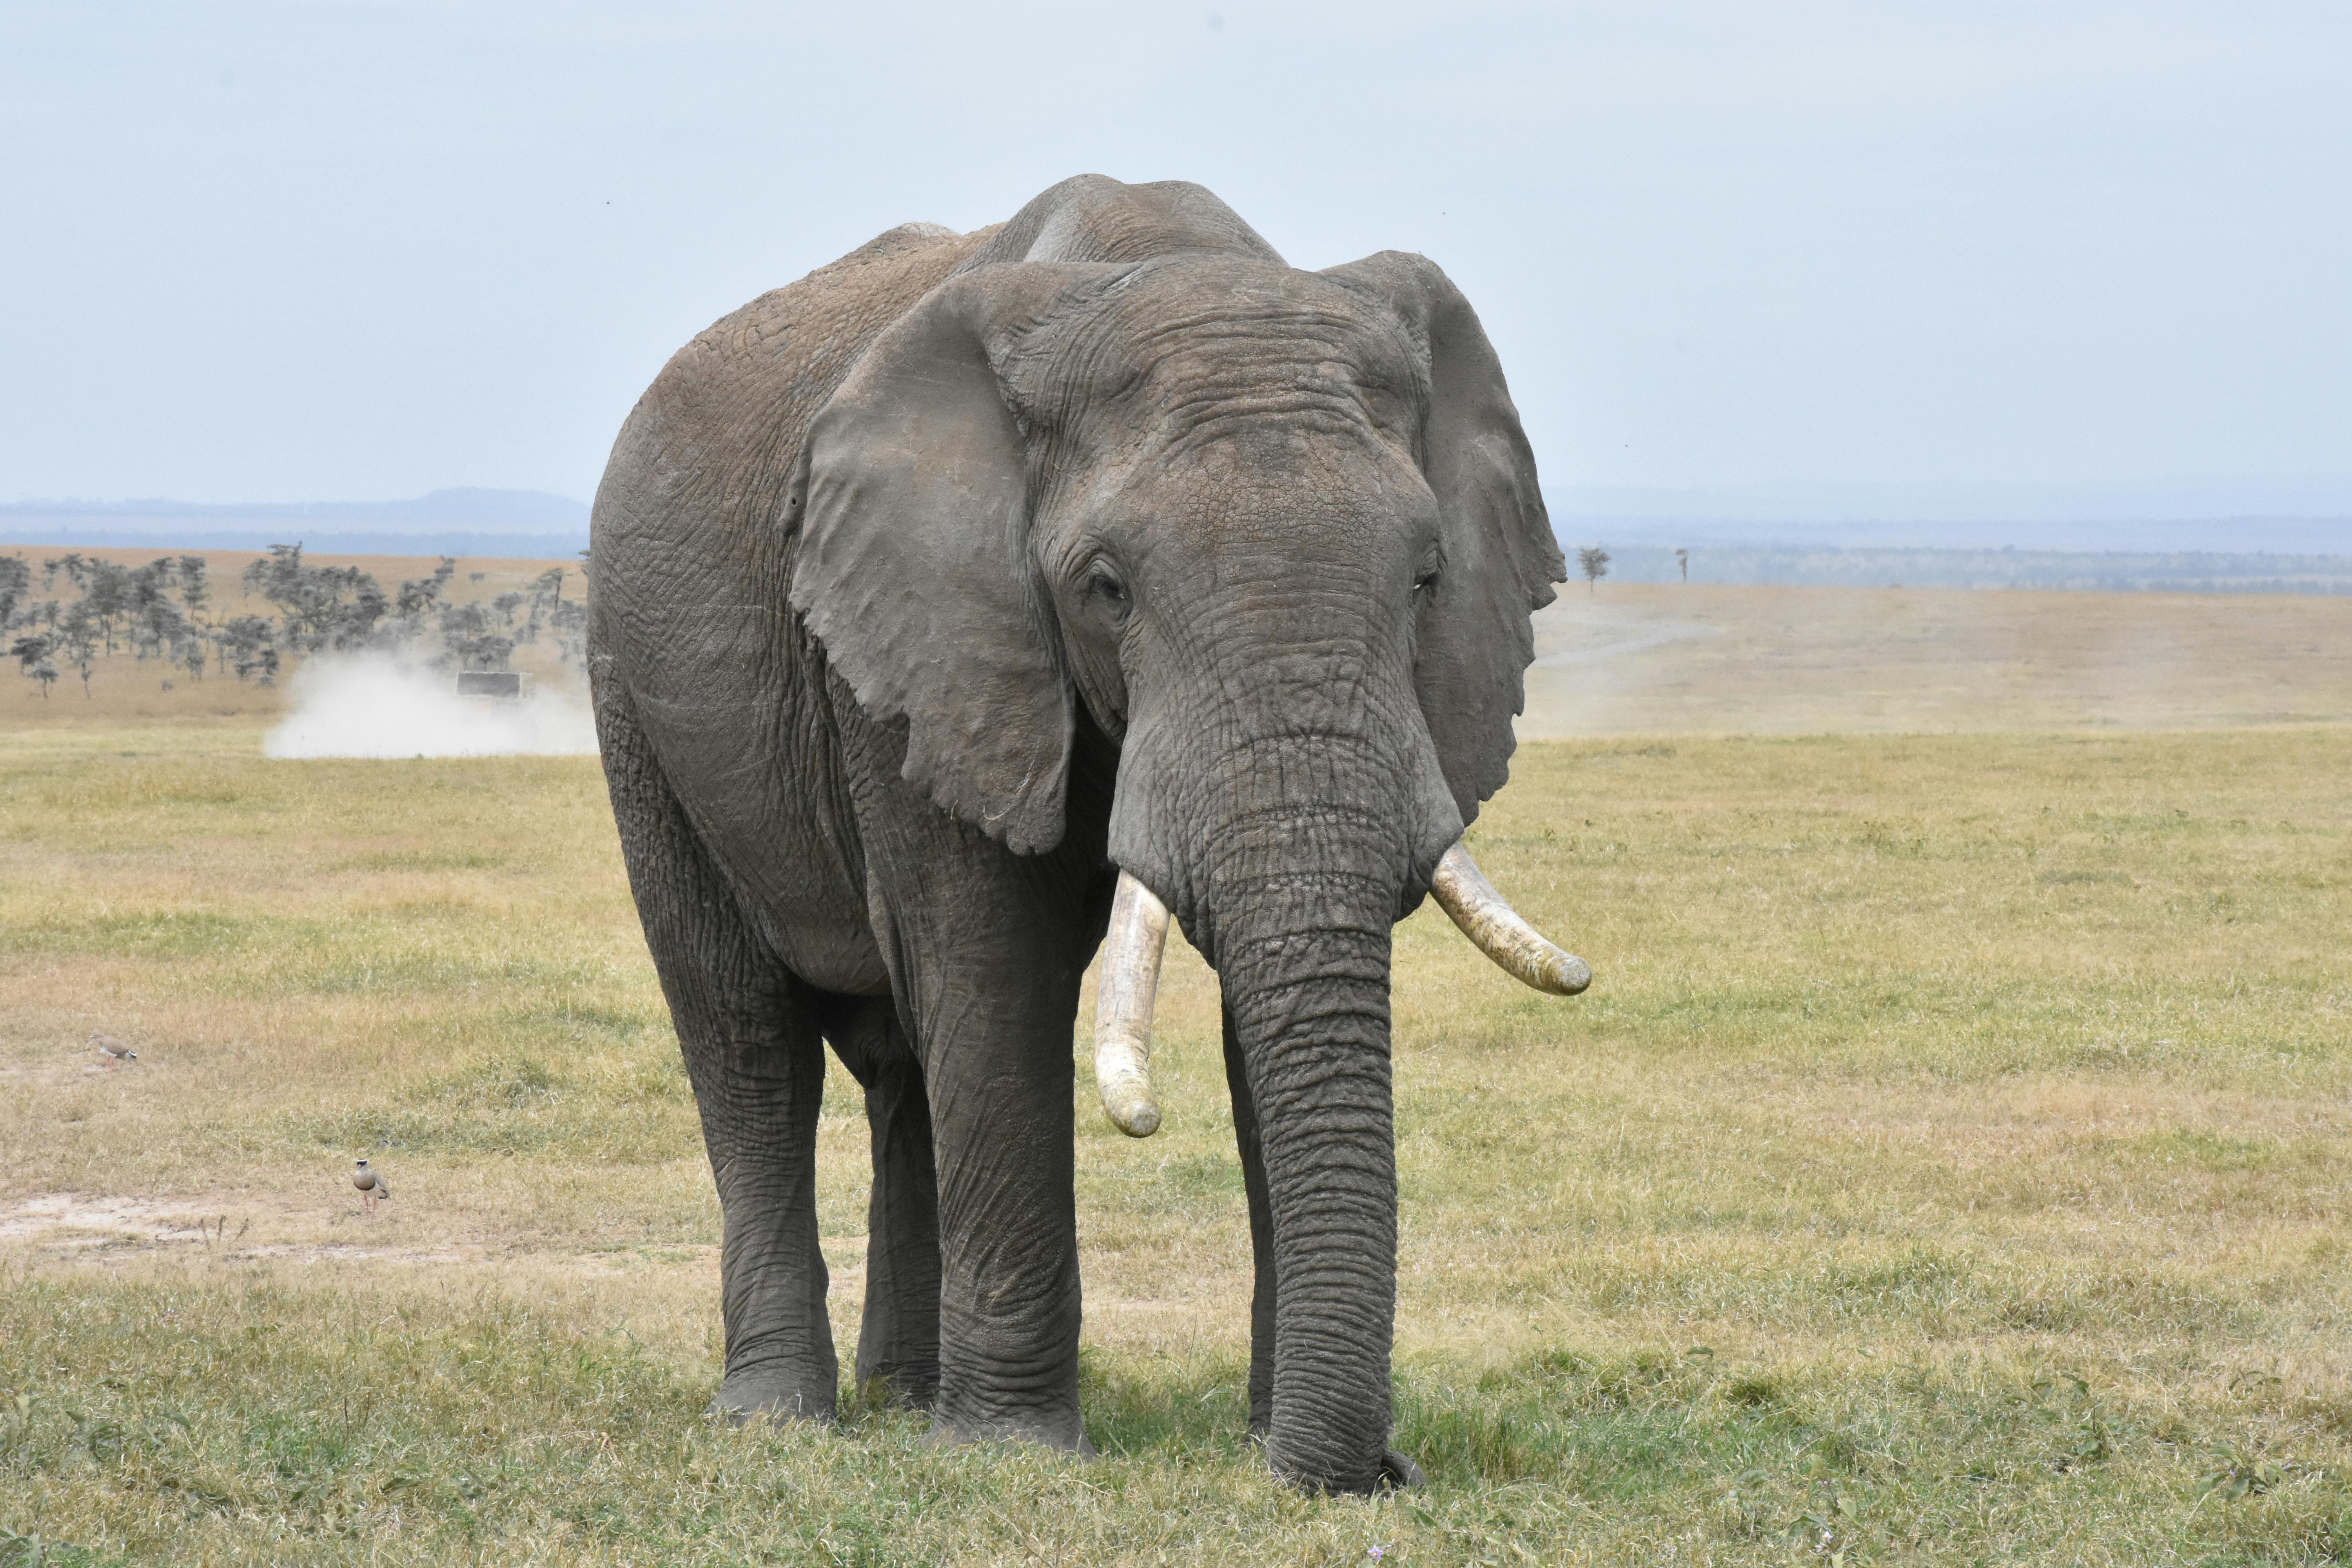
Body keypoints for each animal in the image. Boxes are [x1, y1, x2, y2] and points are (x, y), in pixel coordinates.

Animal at [587, 174, 1588, 1495]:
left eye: (1428, 577)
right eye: (1105, 588)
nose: (1378, 1474)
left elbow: (1257, 1005)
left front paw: (1282, 1446)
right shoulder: (924, 641)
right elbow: (991, 974)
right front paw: (1014, 1454)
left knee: (900, 1070)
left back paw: (904, 1399)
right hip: (634, 695)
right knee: (745, 1037)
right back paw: (778, 1419)